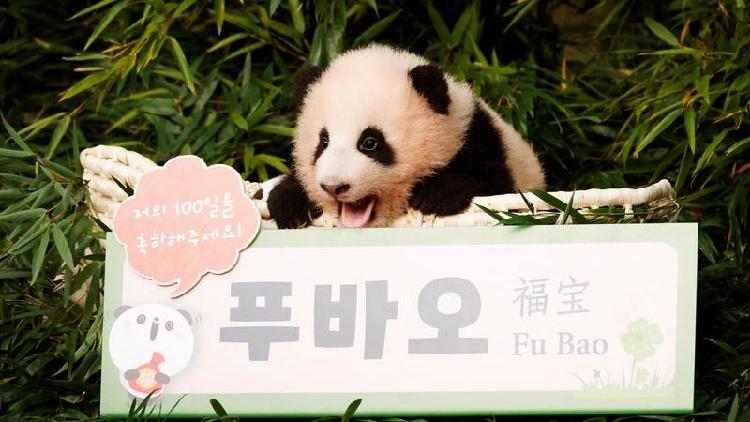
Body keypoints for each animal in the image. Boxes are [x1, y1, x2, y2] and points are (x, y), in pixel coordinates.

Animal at [267, 44, 545, 229]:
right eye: (323, 142)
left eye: (370, 142)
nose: (334, 186)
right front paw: (287, 203)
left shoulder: (479, 141)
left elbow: (496, 189)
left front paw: (435, 194)